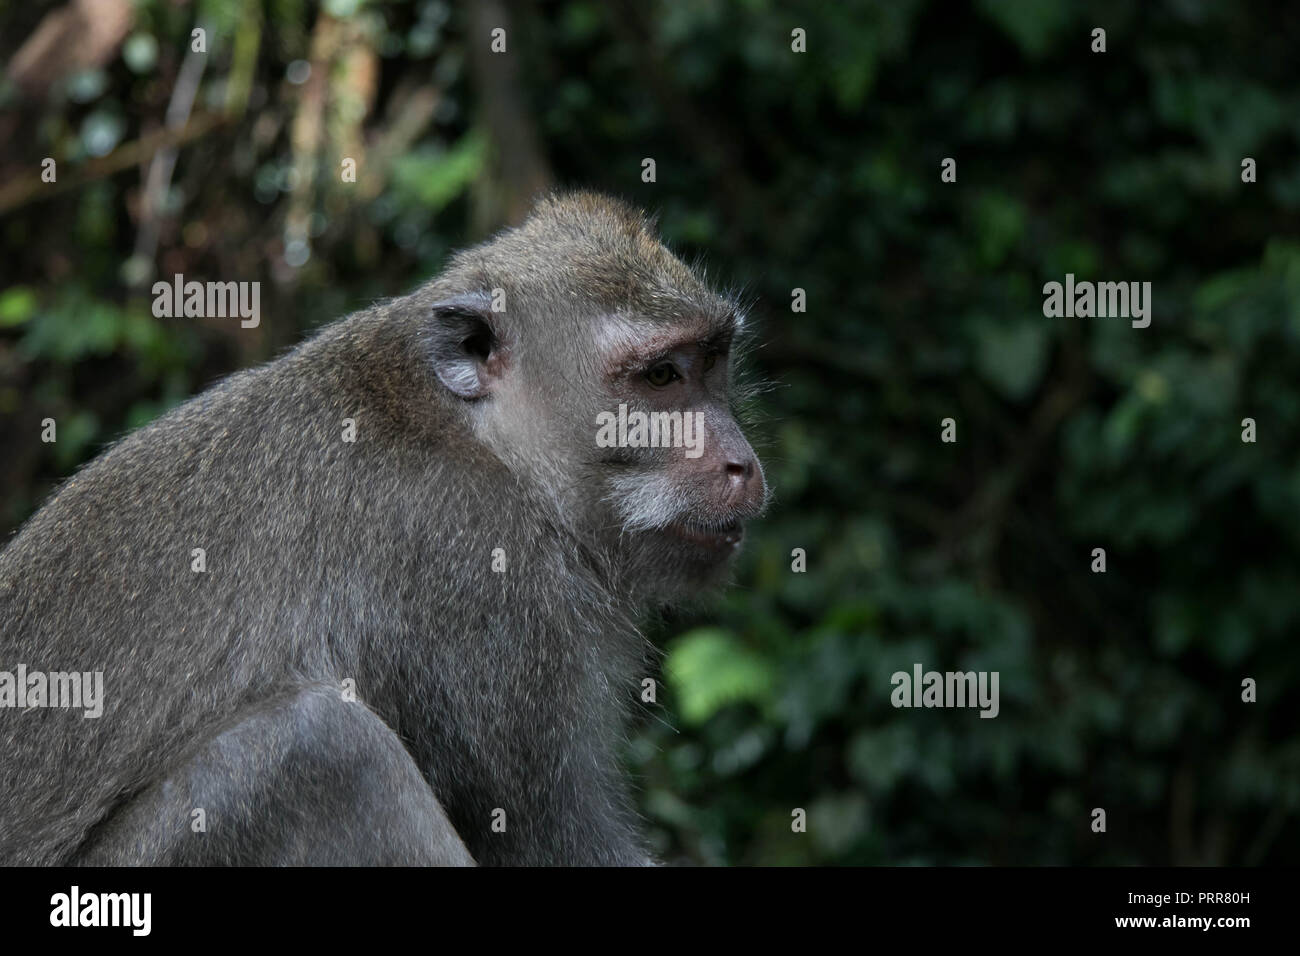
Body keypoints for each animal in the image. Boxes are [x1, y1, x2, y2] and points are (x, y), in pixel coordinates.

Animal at [0, 192, 767, 866]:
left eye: (713, 363)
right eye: (661, 377)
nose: (743, 463)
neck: (485, 444)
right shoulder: (486, 583)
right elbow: (550, 842)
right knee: (325, 748)